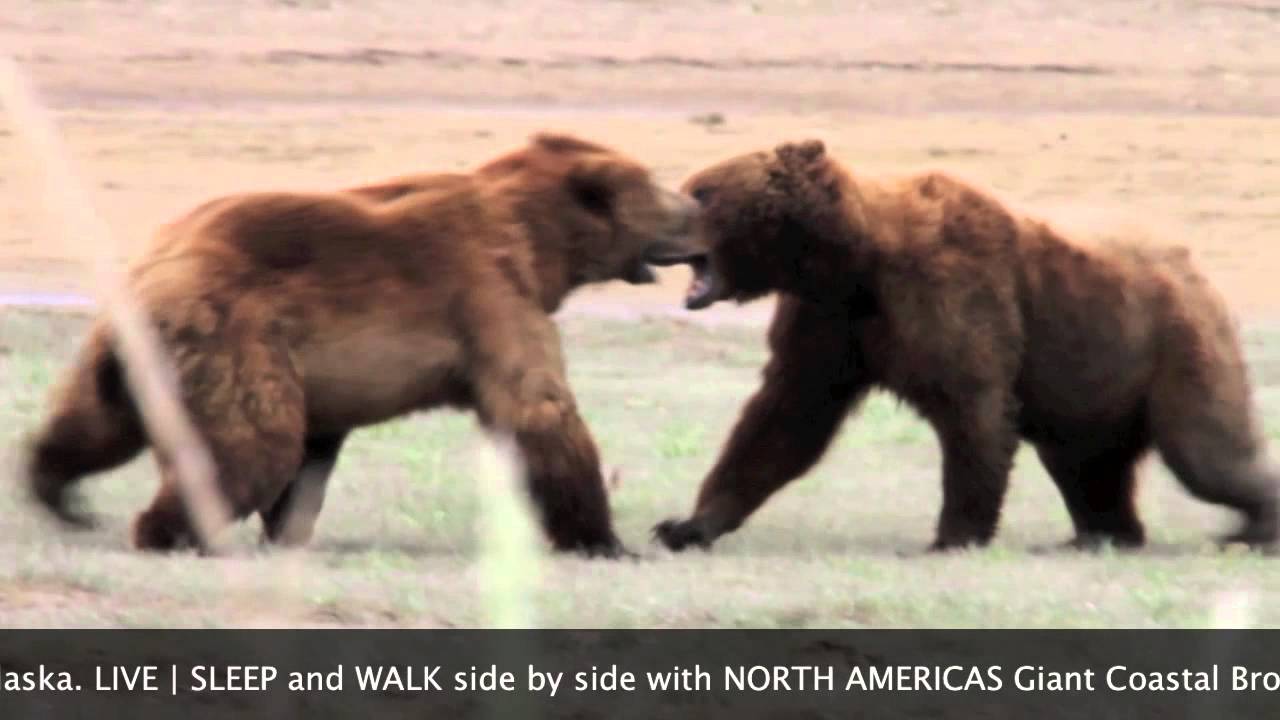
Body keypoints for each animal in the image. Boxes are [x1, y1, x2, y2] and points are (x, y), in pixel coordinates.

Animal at [22, 132, 701, 558]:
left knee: (94, 422)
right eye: (656, 186)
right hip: (231, 331)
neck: (540, 245)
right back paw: (172, 531)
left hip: (134, 354)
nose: (695, 201)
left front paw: (287, 528)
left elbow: (315, 451)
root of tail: (151, 268)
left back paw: (57, 492)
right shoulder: (491, 300)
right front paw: (605, 540)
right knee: (247, 445)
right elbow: (539, 412)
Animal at [649, 139, 1280, 554]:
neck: (852, 263)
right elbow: (784, 417)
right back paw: (1103, 534)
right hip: (1093, 381)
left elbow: (973, 408)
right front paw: (686, 524)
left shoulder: (949, 290)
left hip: (1170, 346)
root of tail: (1195, 269)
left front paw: (952, 536)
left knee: (1206, 451)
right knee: (1085, 463)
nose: (659, 233)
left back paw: (1253, 527)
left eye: (700, 191)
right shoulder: (830, 323)